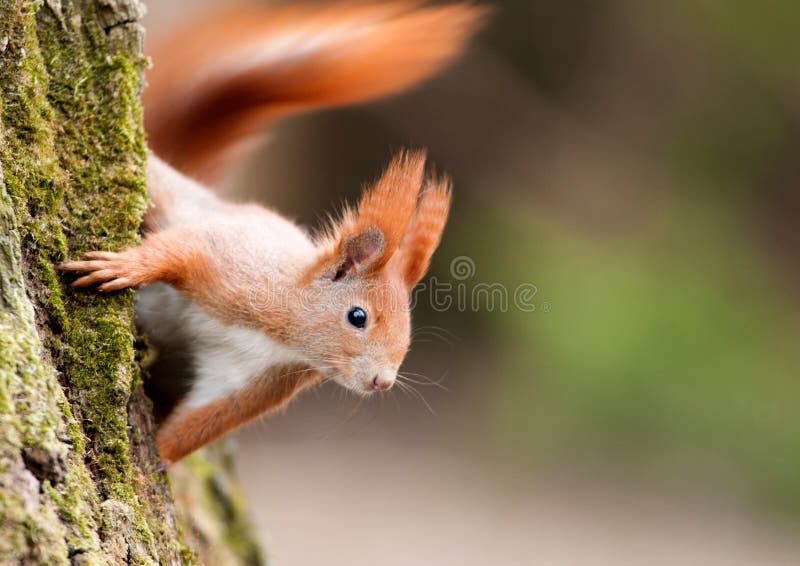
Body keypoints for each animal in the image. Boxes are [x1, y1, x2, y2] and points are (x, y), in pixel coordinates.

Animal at [58, 1, 485, 465]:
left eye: (407, 326)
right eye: (358, 317)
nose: (382, 381)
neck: (285, 337)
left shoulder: (255, 381)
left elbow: (193, 429)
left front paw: (154, 457)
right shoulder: (233, 267)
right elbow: (182, 251)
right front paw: (126, 267)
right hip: (176, 195)